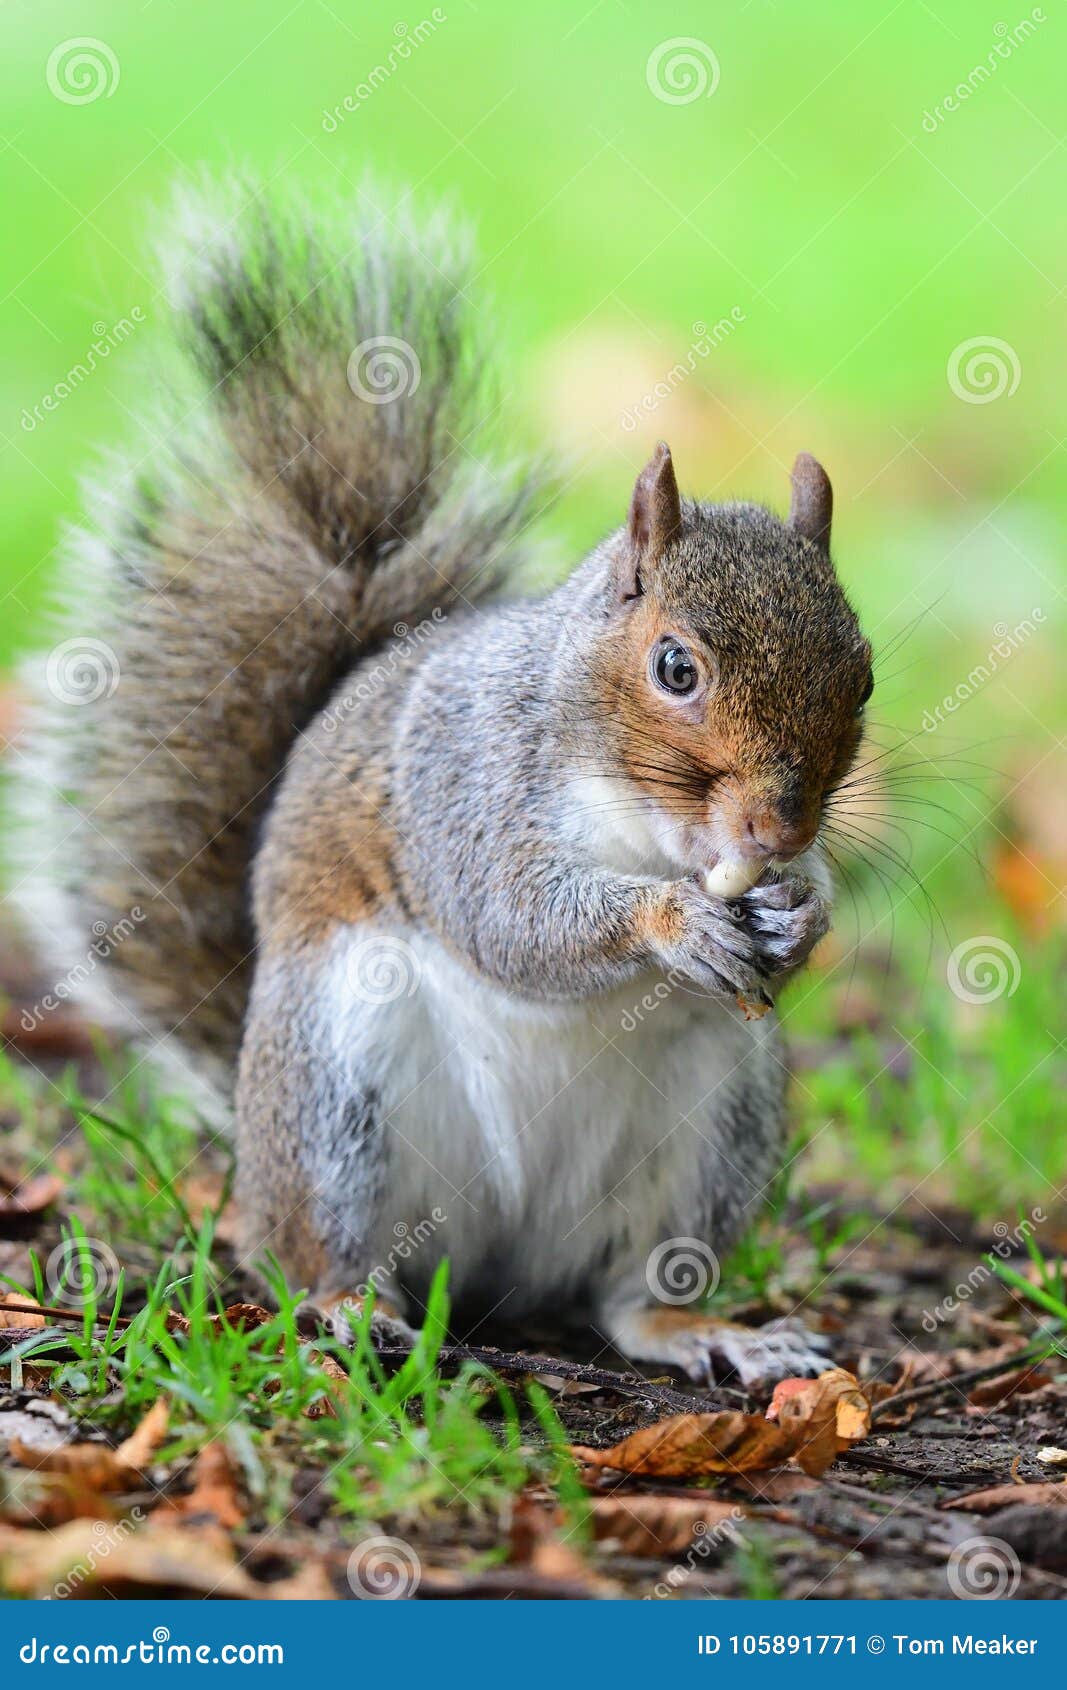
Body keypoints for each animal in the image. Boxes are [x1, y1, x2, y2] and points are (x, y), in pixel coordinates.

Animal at [13, 185, 874, 1387]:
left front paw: (802, 912)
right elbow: (508, 915)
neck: (646, 821)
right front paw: (670, 922)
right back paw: (345, 1307)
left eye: (864, 670)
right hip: (335, 1084)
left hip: (717, 1116)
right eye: (674, 668)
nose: (778, 826)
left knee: (630, 1295)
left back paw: (709, 1330)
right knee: (312, 1255)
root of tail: (502, 1266)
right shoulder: (459, 778)